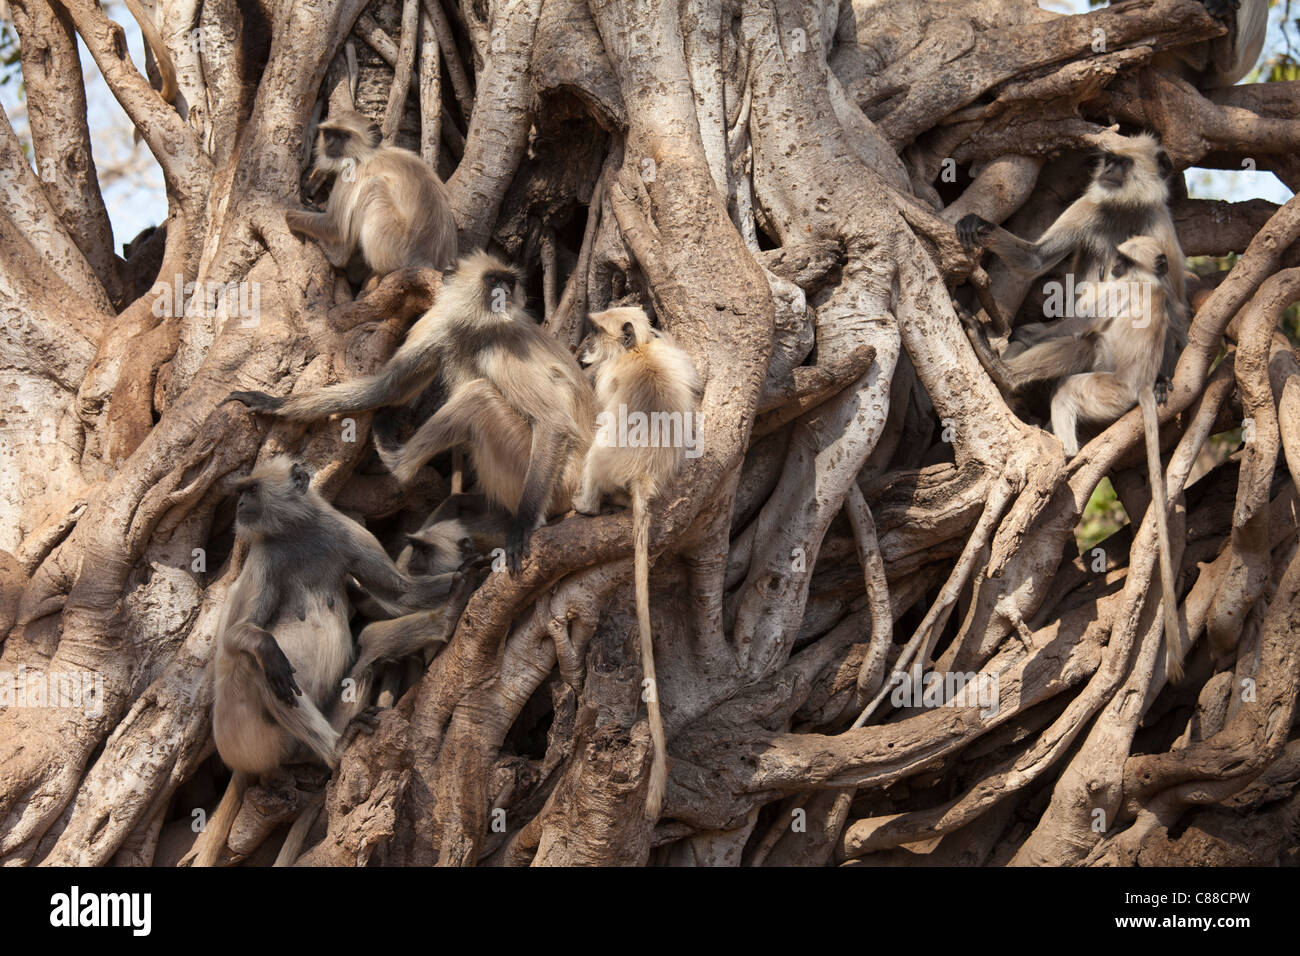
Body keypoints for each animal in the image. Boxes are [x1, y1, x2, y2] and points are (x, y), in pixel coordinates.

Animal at [188, 457, 460, 866]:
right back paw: (335, 748)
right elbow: (237, 635)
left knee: (367, 649)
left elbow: (401, 593)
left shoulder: (346, 532)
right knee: (255, 668)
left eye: (250, 491)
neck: (299, 531)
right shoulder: (264, 556)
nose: (239, 506)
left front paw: (474, 572)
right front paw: (265, 646)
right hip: (248, 742)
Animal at [225, 252, 595, 574]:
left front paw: (523, 526)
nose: (504, 294)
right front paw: (274, 403)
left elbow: (552, 421)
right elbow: (388, 387)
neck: (474, 328)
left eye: (509, 282)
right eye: (493, 281)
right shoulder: (439, 325)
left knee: (478, 397)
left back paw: (398, 462)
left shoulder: (499, 344)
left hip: (550, 483)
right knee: (456, 504)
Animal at [285, 110, 458, 276]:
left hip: (392, 245)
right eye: (328, 134)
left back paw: (336, 255)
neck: (366, 155)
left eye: (343, 136)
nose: (331, 144)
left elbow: (335, 226)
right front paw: (316, 181)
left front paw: (289, 213)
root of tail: (425, 260)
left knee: (372, 185)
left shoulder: (352, 171)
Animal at [572, 306, 702, 820]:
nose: (579, 349)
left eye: (594, 332)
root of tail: (645, 474)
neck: (640, 351)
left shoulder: (612, 377)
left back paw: (585, 505)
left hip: (606, 462)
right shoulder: (674, 355)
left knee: (594, 454)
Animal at [957, 132, 1188, 382]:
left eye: (1124, 163)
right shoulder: (1088, 205)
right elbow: (1035, 258)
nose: (1107, 171)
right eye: (1109, 160)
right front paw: (980, 225)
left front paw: (1162, 380)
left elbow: (1173, 308)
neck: (1124, 208)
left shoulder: (1160, 228)